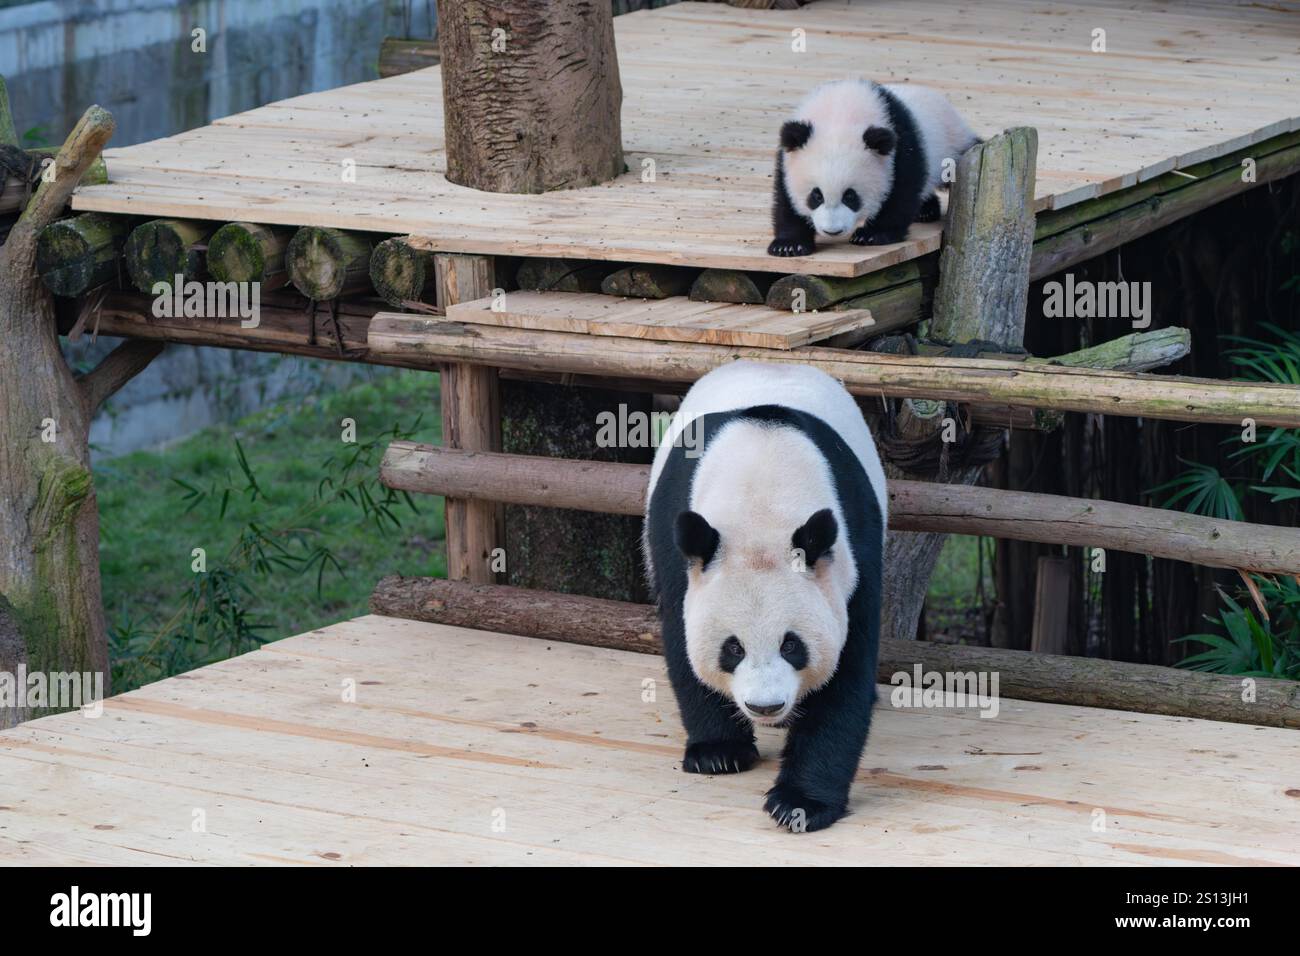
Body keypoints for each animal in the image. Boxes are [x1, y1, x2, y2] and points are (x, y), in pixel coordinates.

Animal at [643, 360, 887, 832]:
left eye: (792, 645)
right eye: (732, 649)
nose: (765, 705)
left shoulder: (852, 555)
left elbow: (845, 675)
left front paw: (799, 804)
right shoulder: (678, 545)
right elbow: (682, 641)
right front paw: (719, 753)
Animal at [768, 79, 980, 256]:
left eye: (850, 196)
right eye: (816, 195)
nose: (833, 231)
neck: (841, 112)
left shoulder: (901, 146)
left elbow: (901, 192)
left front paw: (871, 235)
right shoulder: (787, 158)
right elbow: (785, 201)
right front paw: (789, 245)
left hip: (953, 145)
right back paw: (926, 210)